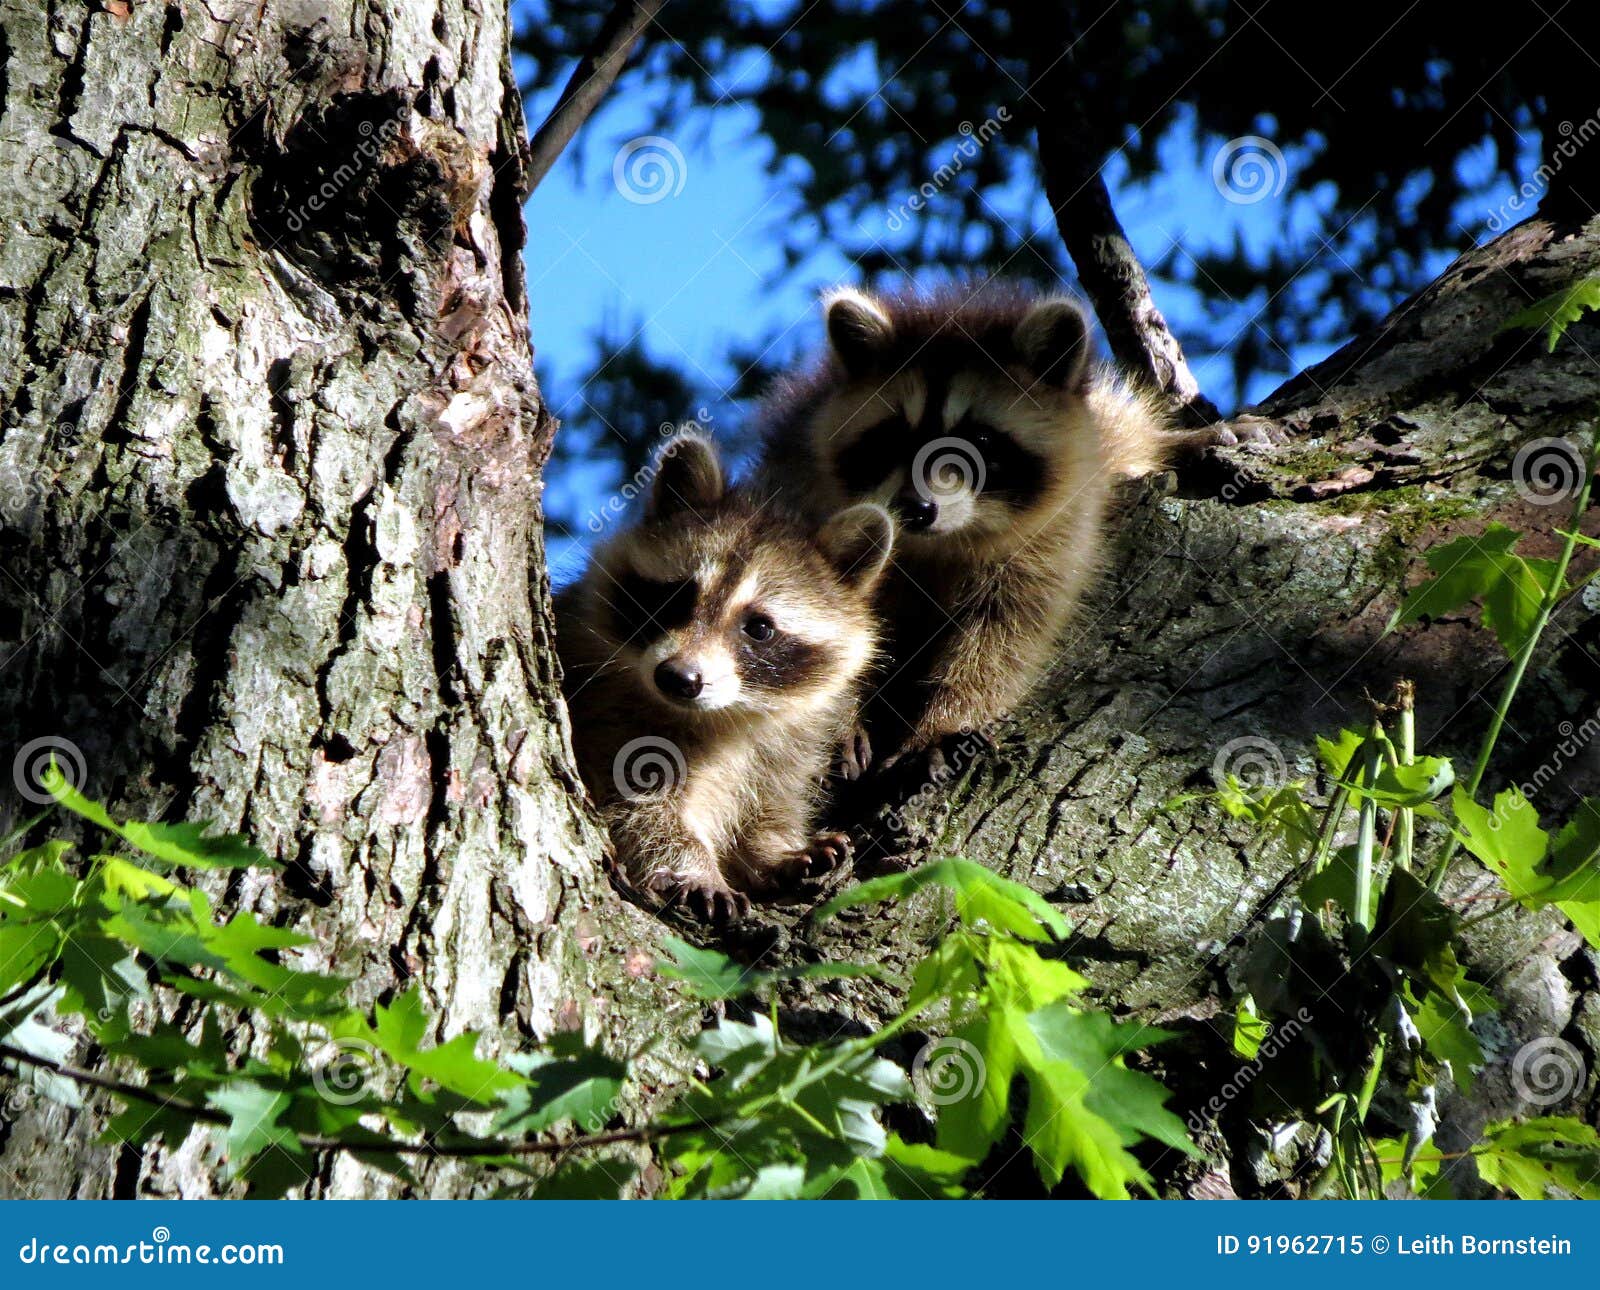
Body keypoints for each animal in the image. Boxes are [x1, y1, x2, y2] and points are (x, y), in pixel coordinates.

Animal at [555, 431, 895, 921]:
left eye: (759, 627)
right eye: (676, 597)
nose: (678, 677)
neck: (723, 717)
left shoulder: (789, 740)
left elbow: (773, 800)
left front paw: (774, 849)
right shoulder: (605, 710)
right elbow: (637, 808)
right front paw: (691, 865)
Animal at [752, 282, 1168, 775]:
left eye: (980, 441)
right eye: (893, 438)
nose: (915, 508)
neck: (935, 544)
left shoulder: (1057, 532)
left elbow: (1006, 632)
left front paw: (948, 719)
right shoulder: (800, 488)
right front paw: (838, 720)